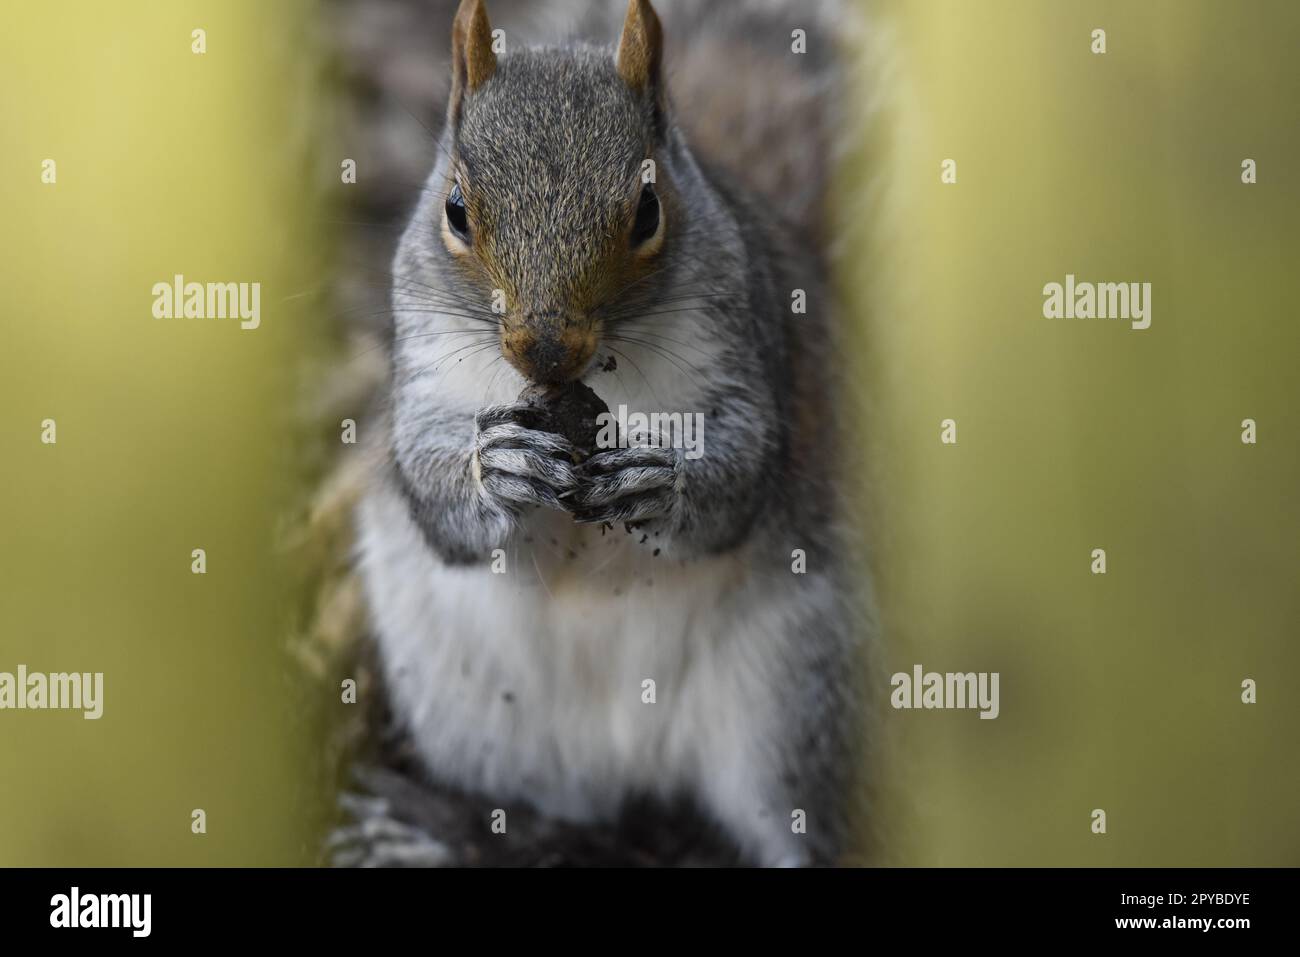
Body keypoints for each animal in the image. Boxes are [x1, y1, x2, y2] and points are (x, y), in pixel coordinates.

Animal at [354, 0, 873, 866]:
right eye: (456, 210)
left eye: (648, 212)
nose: (545, 349)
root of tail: (646, 754)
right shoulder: (421, 373)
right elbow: (433, 492)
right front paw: (496, 468)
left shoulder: (749, 358)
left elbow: (741, 475)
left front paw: (659, 481)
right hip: (470, 701)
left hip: (797, 696)